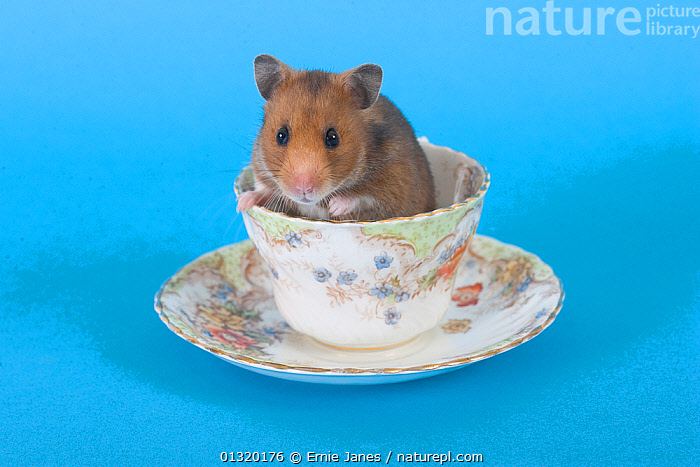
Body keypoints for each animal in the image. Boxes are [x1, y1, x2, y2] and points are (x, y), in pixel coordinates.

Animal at [236, 54, 436, 222]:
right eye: (280, 135)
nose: (303, 189)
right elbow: (266, 191)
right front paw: (243, 202)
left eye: (333, 137)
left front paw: (335, 206)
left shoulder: (395, 187)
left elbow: (365, 197)